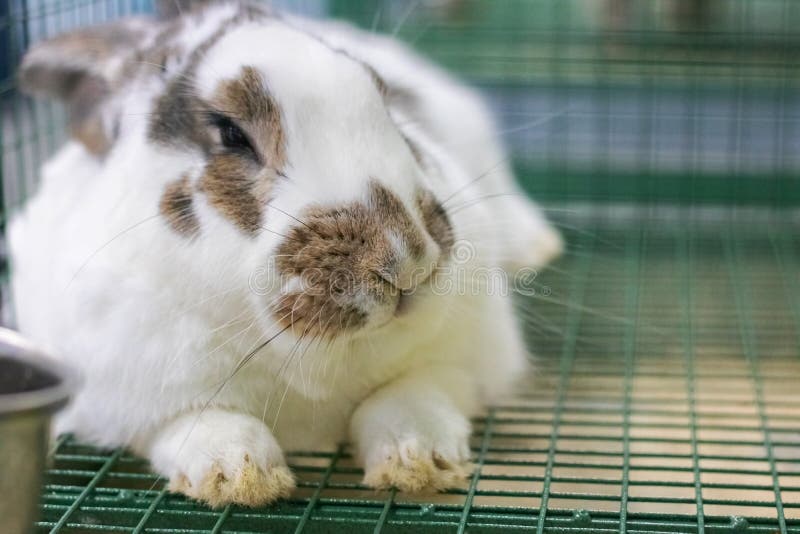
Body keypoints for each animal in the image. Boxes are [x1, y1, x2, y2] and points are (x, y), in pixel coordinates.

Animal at [10, 1, 562, 507]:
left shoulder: (470, 352)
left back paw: (538, 244)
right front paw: (239, 476)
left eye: (384, 102)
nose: (408, 264)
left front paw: (418, 459)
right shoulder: (123, 394)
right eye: (231, 133)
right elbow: (196, 421)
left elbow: (417, 390)